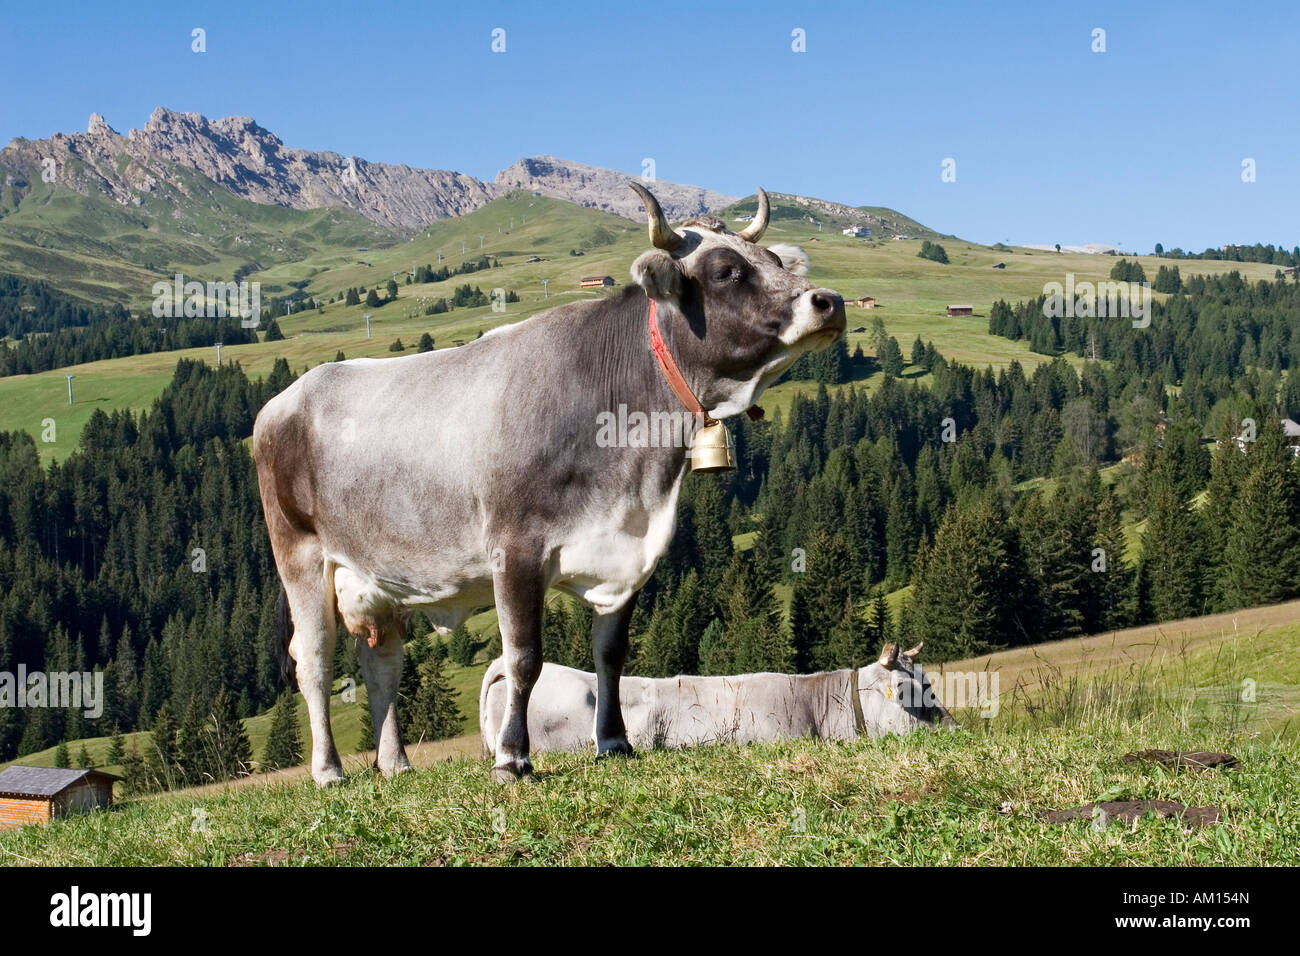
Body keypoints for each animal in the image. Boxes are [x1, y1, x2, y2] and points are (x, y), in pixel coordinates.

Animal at [254, 184, 847, 785]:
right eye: (727, 272)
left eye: (774, 261)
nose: (829, 301)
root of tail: (288, 396)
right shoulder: (515, 550)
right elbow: (523, 657)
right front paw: (512, 757)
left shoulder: (625, 553)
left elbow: (610, 655)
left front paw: (614, 741)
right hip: (299, 555)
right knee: (314, 661)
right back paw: (329, 770)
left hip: (379, 575)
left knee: (382, 664)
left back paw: (395, 763)